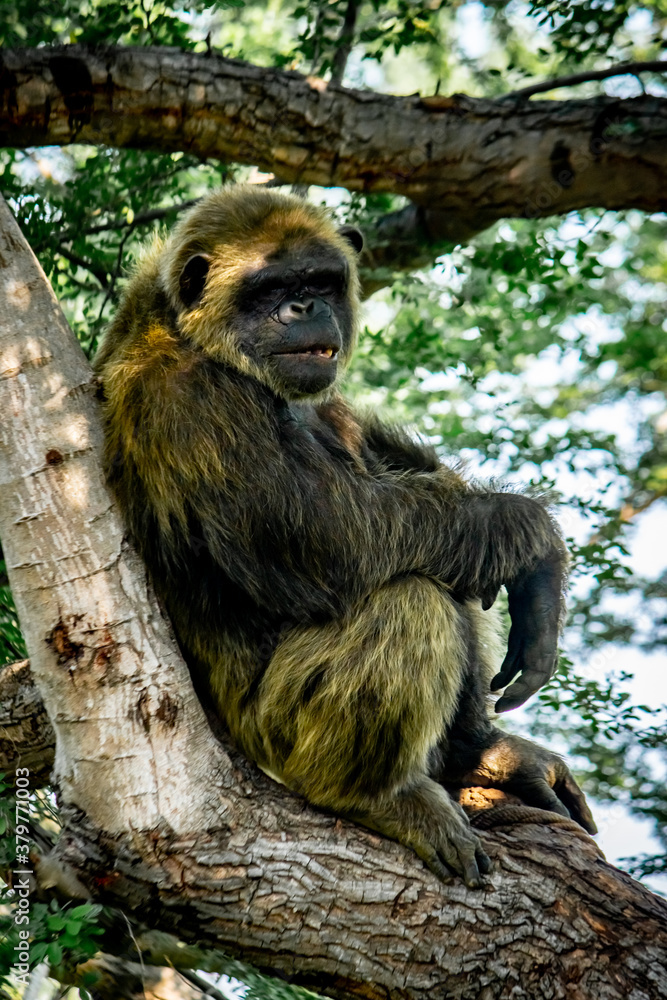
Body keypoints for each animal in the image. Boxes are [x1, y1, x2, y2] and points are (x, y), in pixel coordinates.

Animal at [95, 185, 596, 888]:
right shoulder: (186, 401)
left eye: (320, 280)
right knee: (409, 599)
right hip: (277, 734)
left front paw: (538, 583)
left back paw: (477, 753)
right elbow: (328, 533)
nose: (302, 306)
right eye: (270, 287)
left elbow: (377, 453)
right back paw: (381, 796)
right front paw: (534, 536)